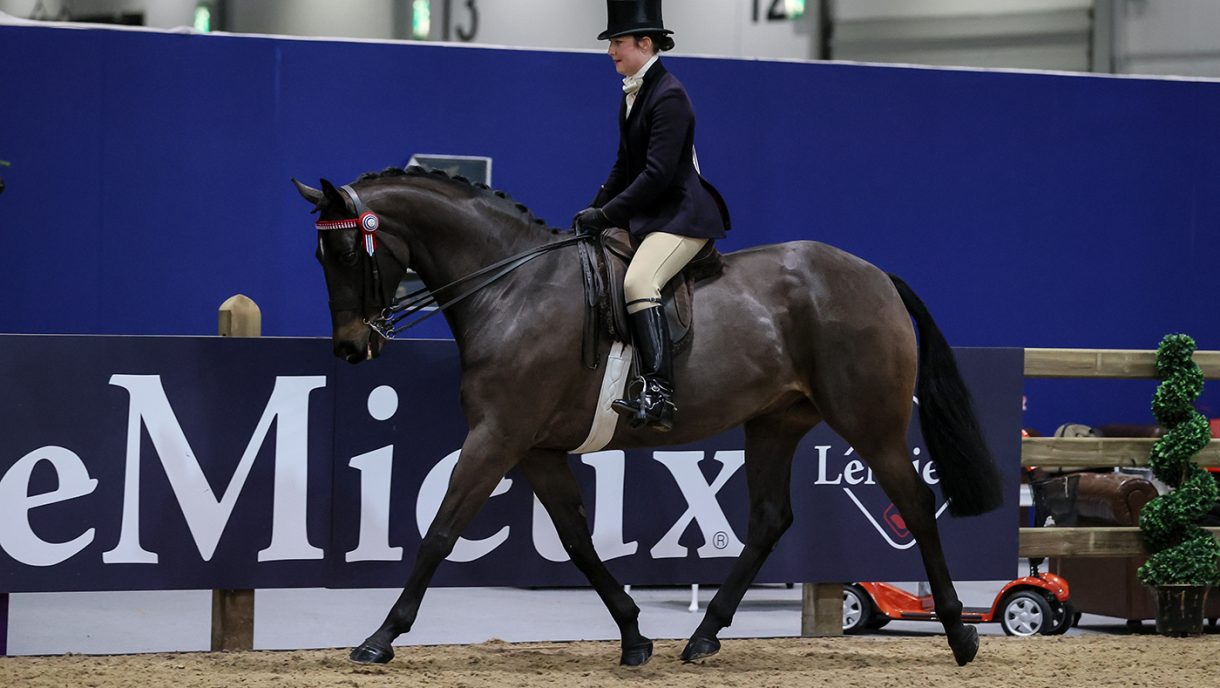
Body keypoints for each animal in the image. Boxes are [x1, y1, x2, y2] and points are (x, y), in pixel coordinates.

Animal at [293, 166, 1004, 668]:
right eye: (320, 258)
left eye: (348, 255)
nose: (351, 347)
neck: (510, 290)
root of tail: (876, 276)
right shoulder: (536, 450)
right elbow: (578, 542)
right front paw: (635, 637)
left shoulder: (497, 436)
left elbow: (440, 531)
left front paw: (381, 637)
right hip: (775, 422)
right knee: (770, 519)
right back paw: (703, 636)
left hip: (870, 422)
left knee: (915, 504)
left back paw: (959, 636)